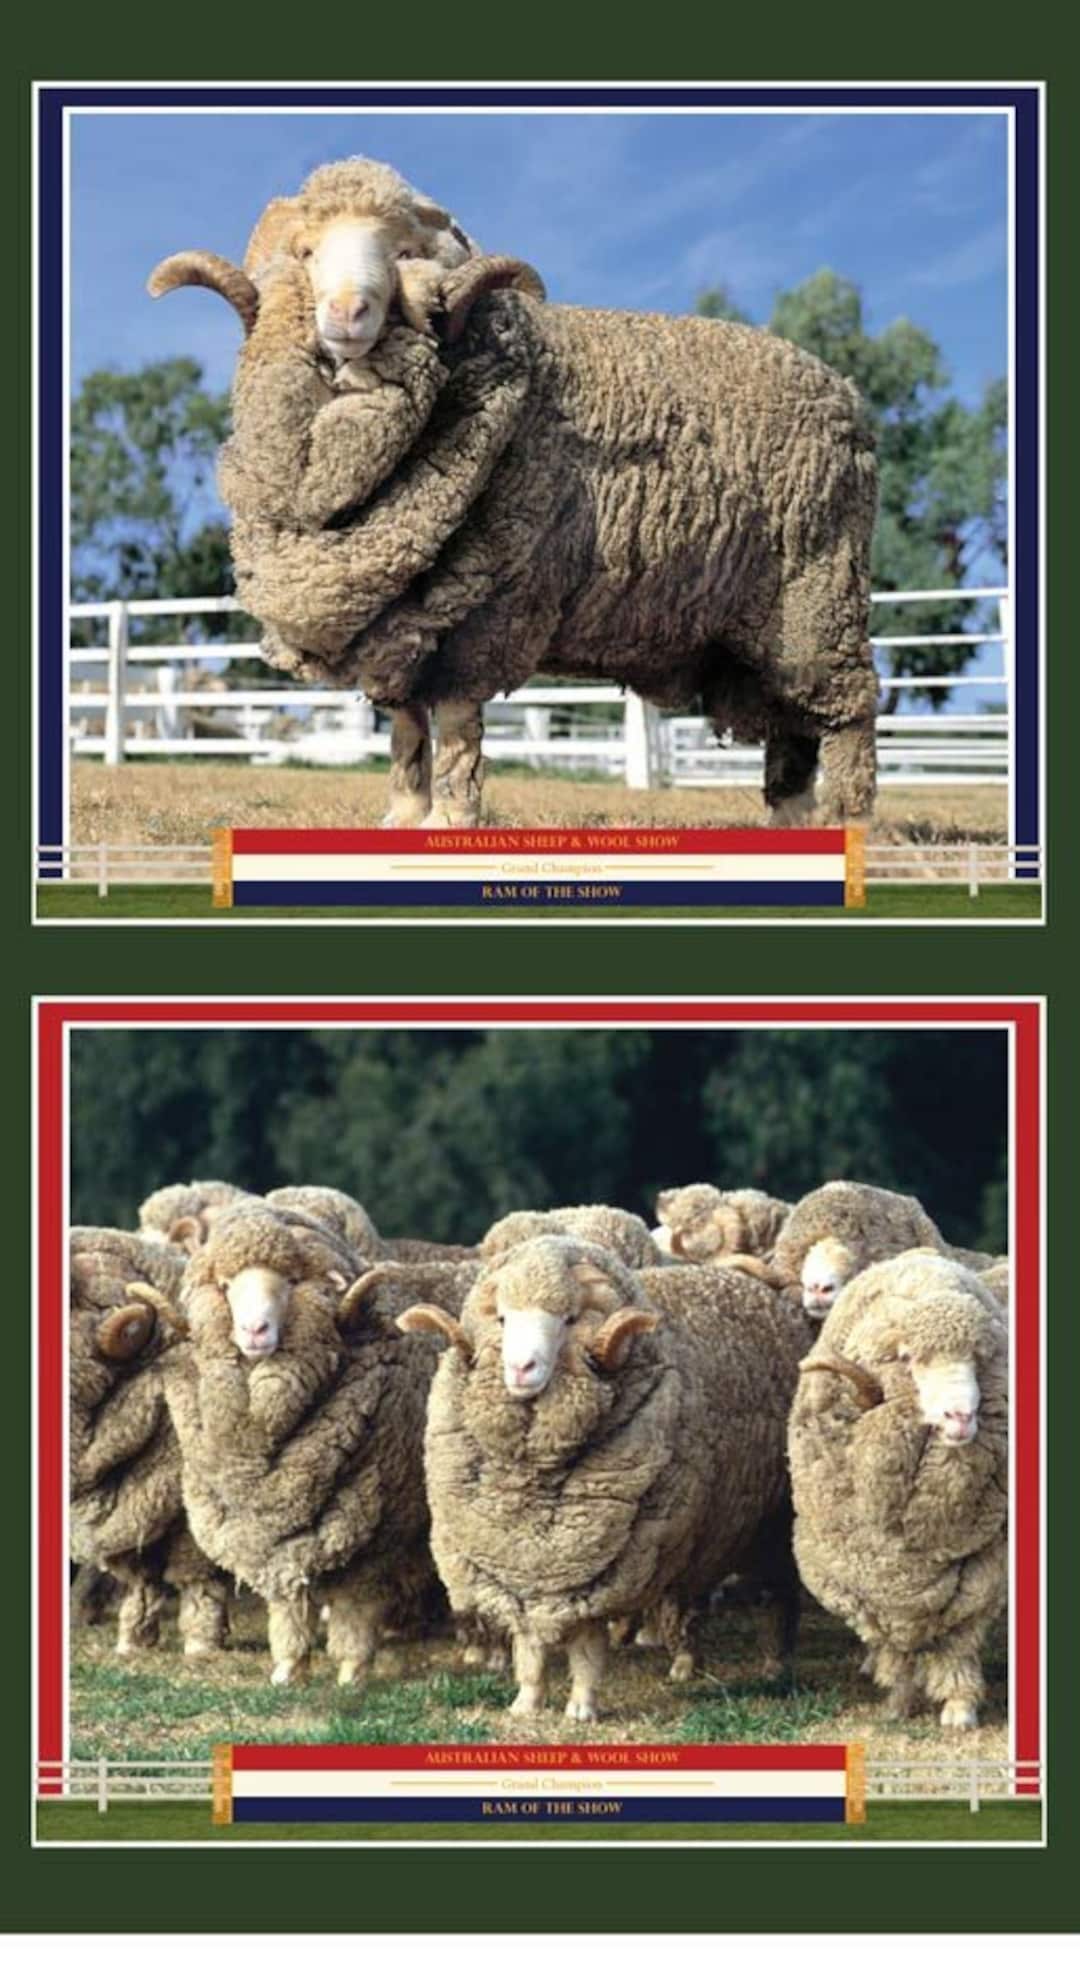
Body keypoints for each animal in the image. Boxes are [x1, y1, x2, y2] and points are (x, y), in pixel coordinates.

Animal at [68, 1227, 228, 1657]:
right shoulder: (139, 1511)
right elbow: (142, 1581)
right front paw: (133, 1639)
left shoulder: (191, 1510)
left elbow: (195, 1576)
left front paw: (202, 1641)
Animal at [150, 169, 878, 830]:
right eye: (305, 252)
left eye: (404, 252)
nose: (349, 313)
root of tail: (846, 392)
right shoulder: (403, 621)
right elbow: (408, 727)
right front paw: (403, 816)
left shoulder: (489, 609)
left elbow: (454, 720)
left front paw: (451, 819)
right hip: (765, 632)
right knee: (792, 727)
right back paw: (789, 822)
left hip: (819, 596)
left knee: (849, 714)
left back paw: (851, 824)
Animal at [162, 1201, 440, 1686]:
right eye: (227, 1286)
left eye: (290, 1282)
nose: (254, 1330)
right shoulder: (273, 1529)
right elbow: (289, 1600)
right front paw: (288, 1668)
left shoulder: (375, 1532)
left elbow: (353, 1607)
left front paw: (351, 1674)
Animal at [396, 1236, 804, 1719]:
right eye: (502, 1318)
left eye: (570, 1319)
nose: (521, 1368)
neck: (535, 1479)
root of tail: (743, 1281)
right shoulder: (524, 1571)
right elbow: (529, 1647)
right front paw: (526, 1703)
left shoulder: (594, 1569)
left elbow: (586, 1647)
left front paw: (581, 1707)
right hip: (700, 1534)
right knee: (689, 1597)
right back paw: (687, 1662)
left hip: (774, 1523)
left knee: (778, 1597)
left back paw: (776, 1663)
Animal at [788, 1250, 1008, 1729]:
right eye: (908, 1358)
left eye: (977, 1360)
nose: (961, 1417)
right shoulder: (867, 1579)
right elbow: (893, 1644)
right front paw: (898, 1702)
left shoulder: (982, 1570)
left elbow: (957, 1642)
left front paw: (959, 1706)